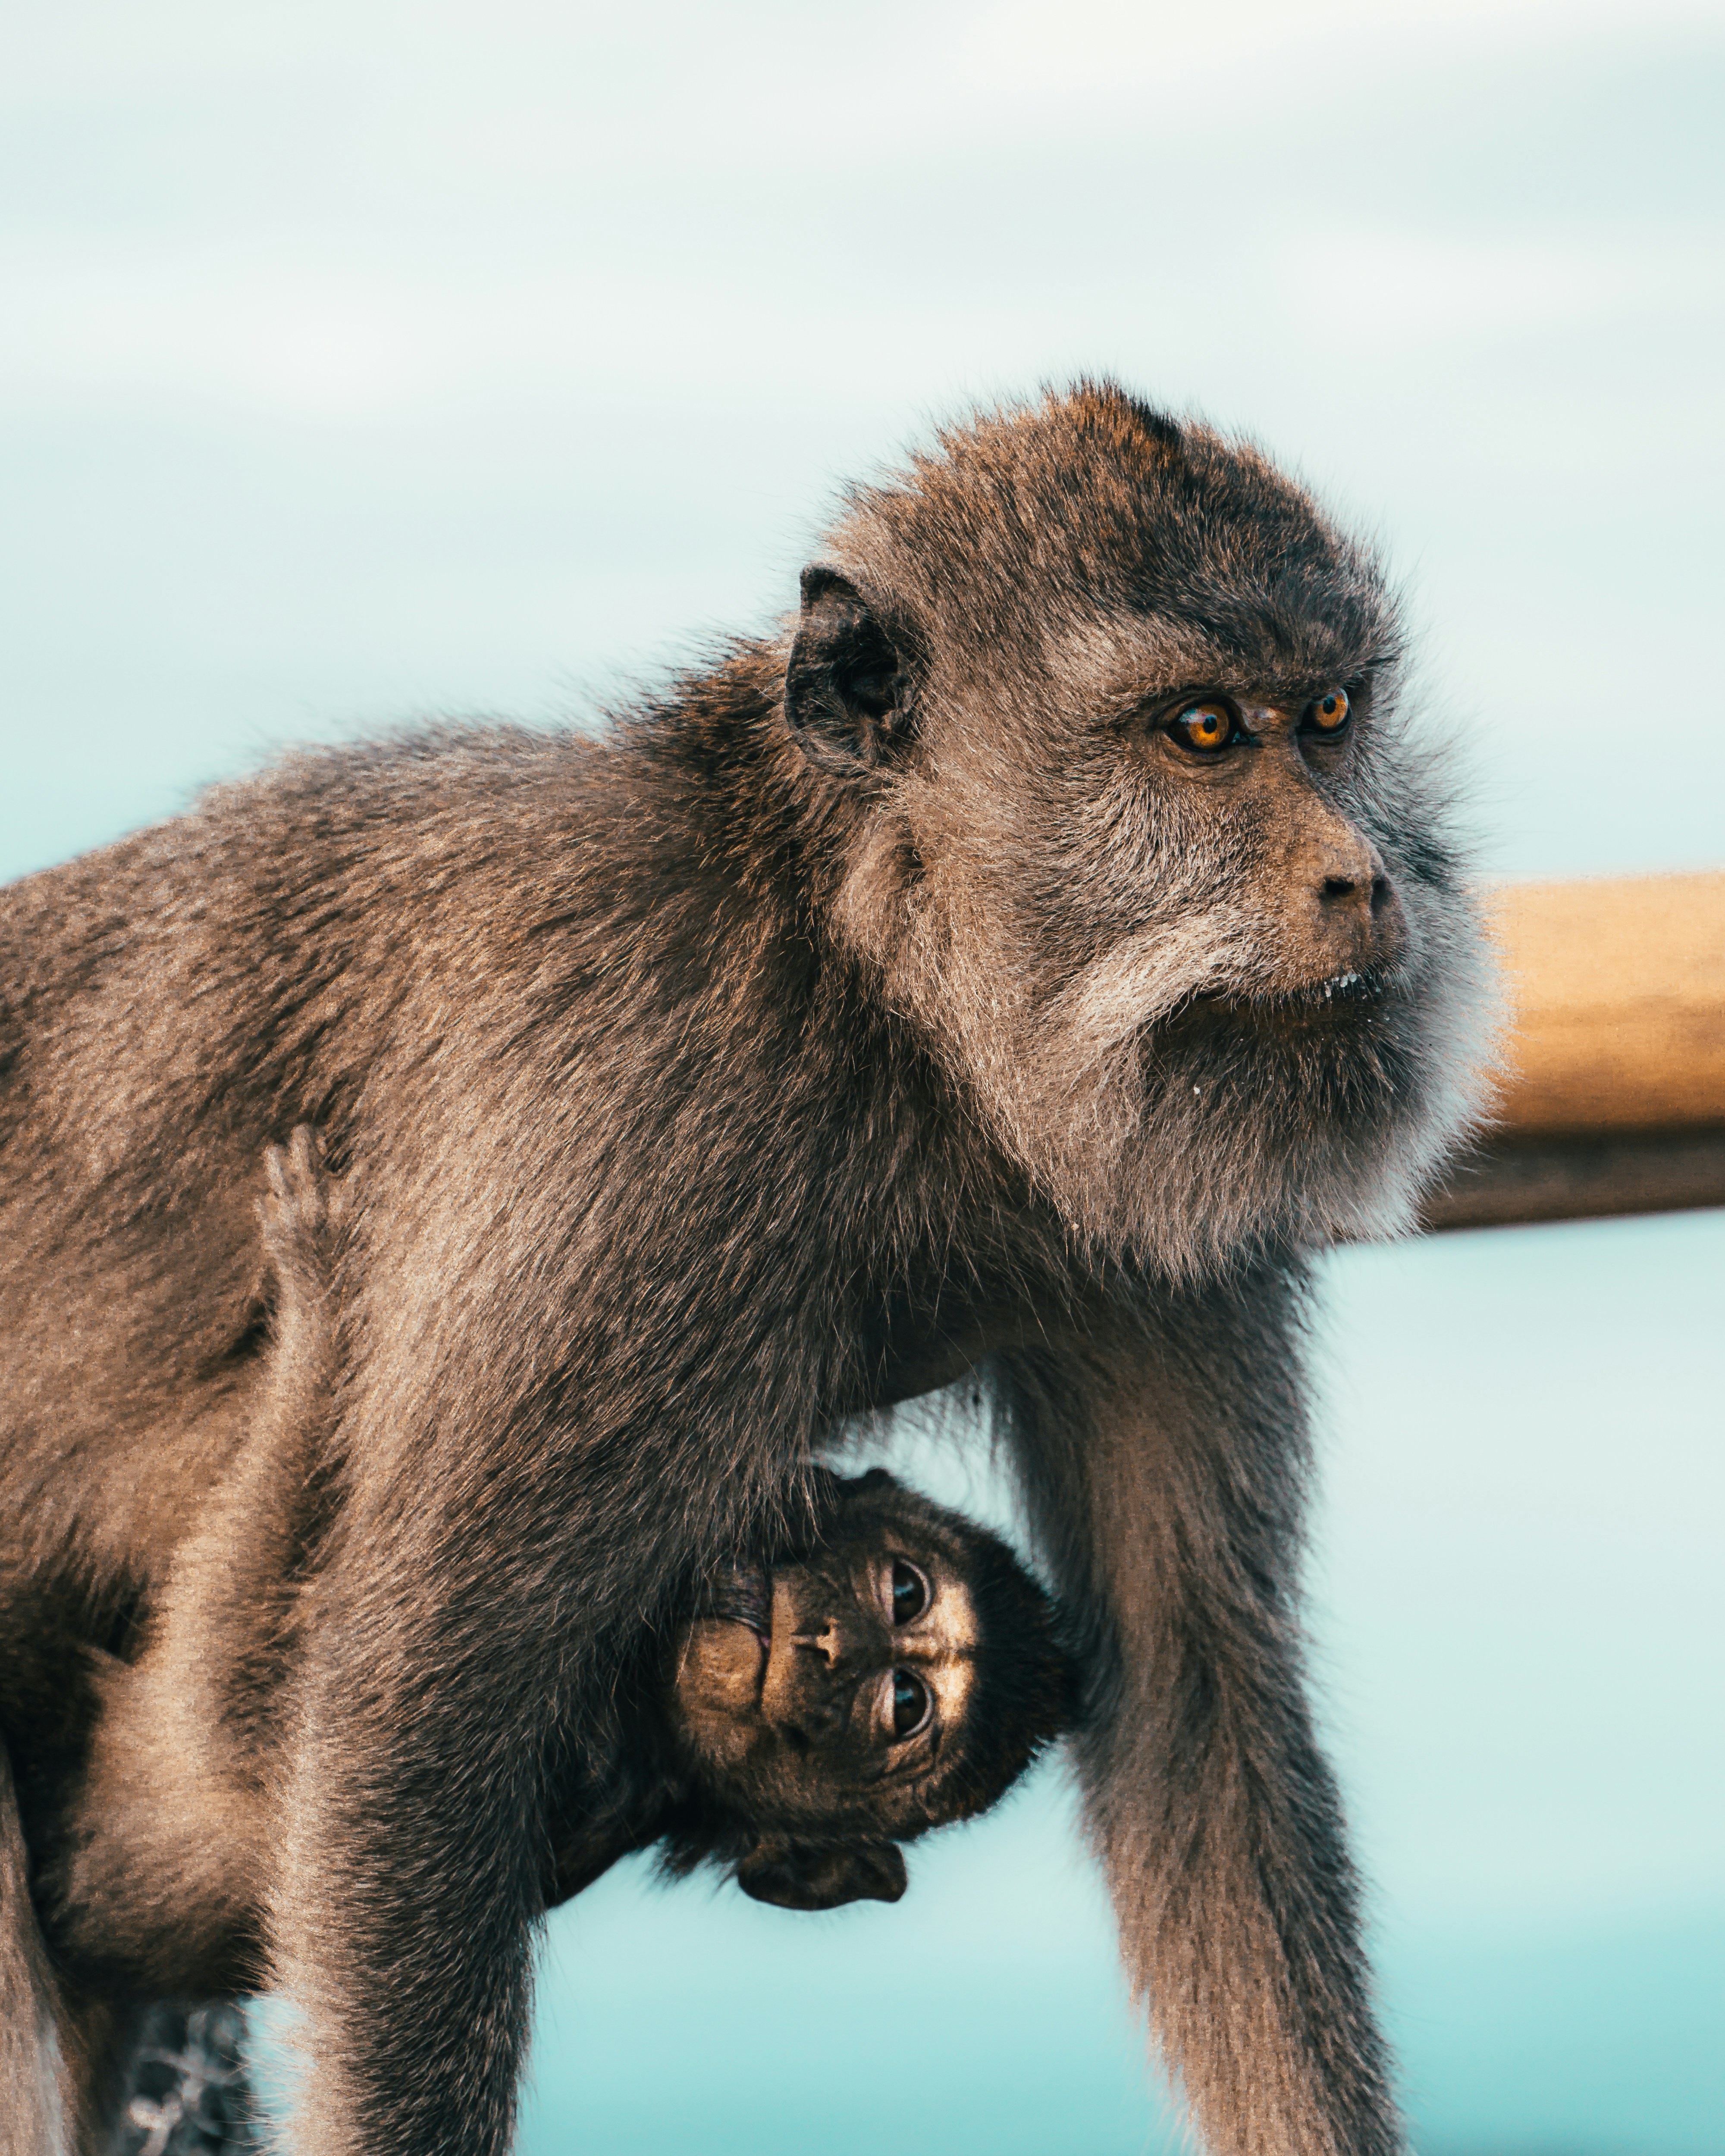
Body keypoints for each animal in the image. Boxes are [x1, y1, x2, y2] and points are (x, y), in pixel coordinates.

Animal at [0, 380, 1491, 2156]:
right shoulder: (643, 1132)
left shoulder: (1151, 1221)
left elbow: (1192, 1693)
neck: (867, 985)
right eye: (1201, 733)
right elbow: (409, 1708)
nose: (1361, 877)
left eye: (1327, 716)